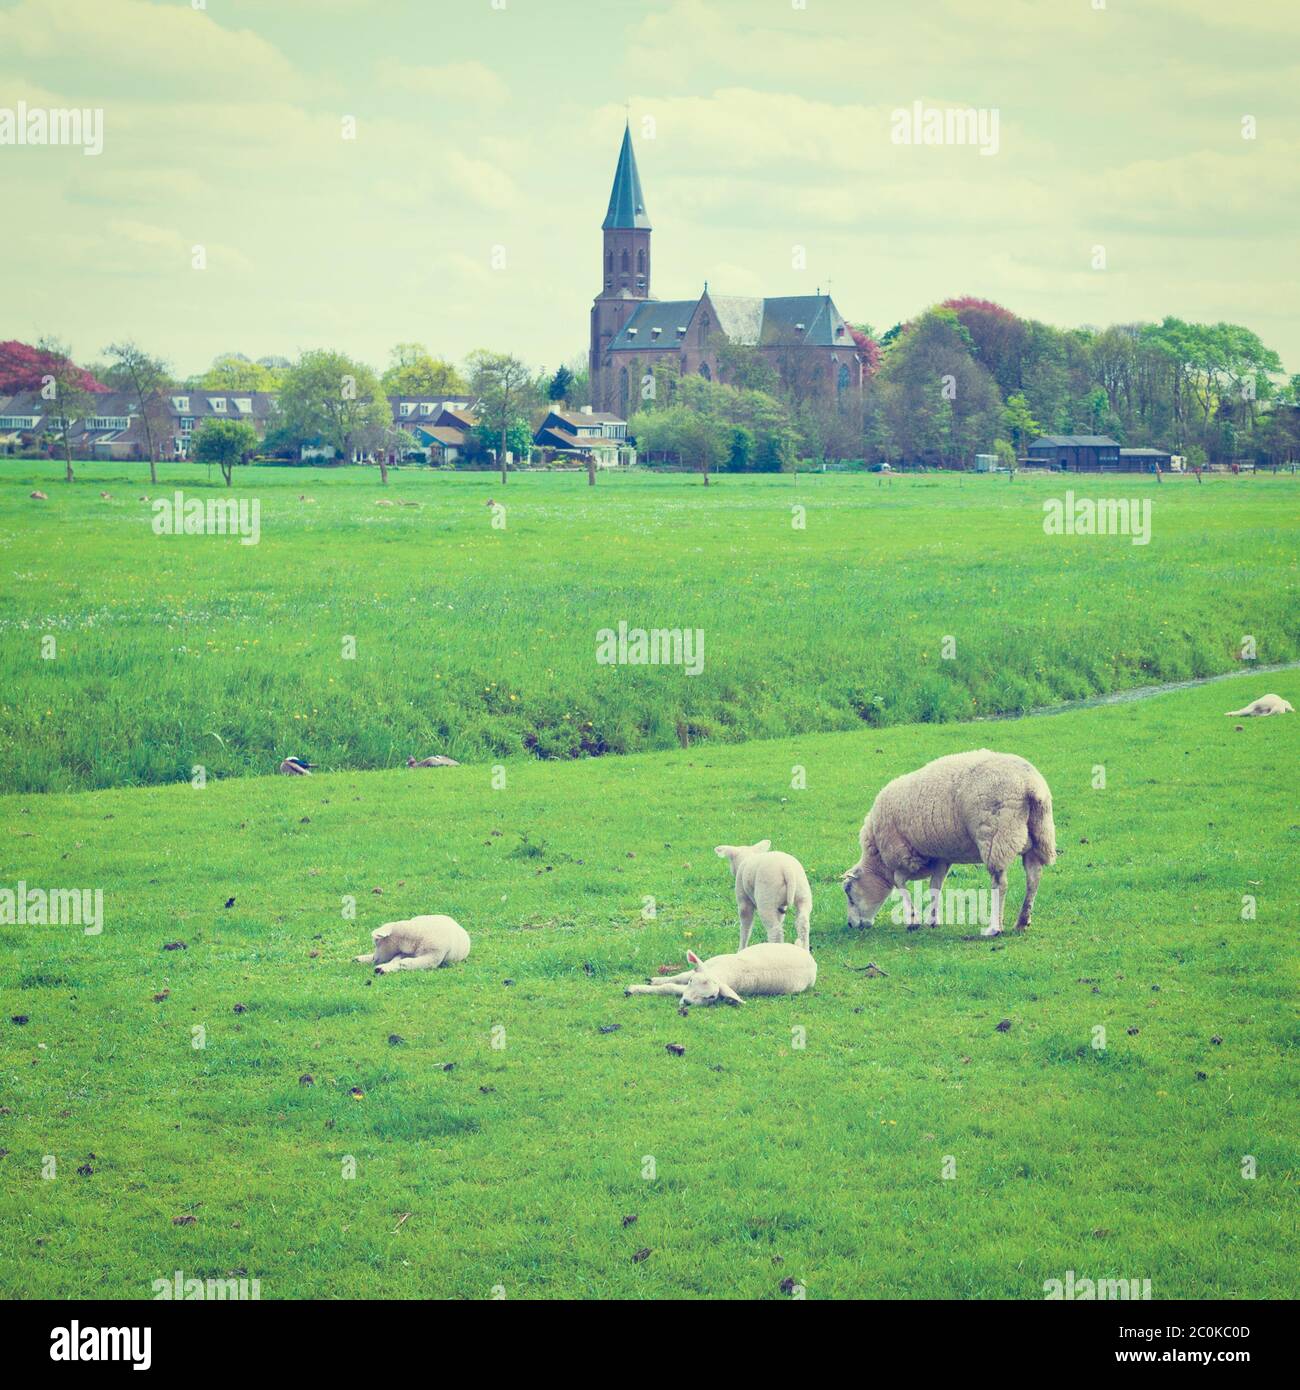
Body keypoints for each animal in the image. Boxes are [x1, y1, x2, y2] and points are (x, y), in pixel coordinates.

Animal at [624, 942, 816, 1011]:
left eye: (711, 997)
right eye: (692, 982)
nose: (686, 1002)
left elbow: (671, 988)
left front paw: (633, 989)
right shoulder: (702, 967)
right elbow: (678, 978)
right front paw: (654, 981)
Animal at [842, 749, 1056, 938]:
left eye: (849, 892)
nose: (851, 925)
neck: (878, 859)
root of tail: (1030, 784)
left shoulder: (903, 853)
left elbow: (900, 883)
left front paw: (913, 920)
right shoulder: (939, 857)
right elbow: (935, 886)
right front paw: (932, 920)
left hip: (995, 836)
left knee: (1000, 884)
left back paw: (994, 928)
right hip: (1040, 833)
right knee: (1033, 878)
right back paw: (1022, 922)